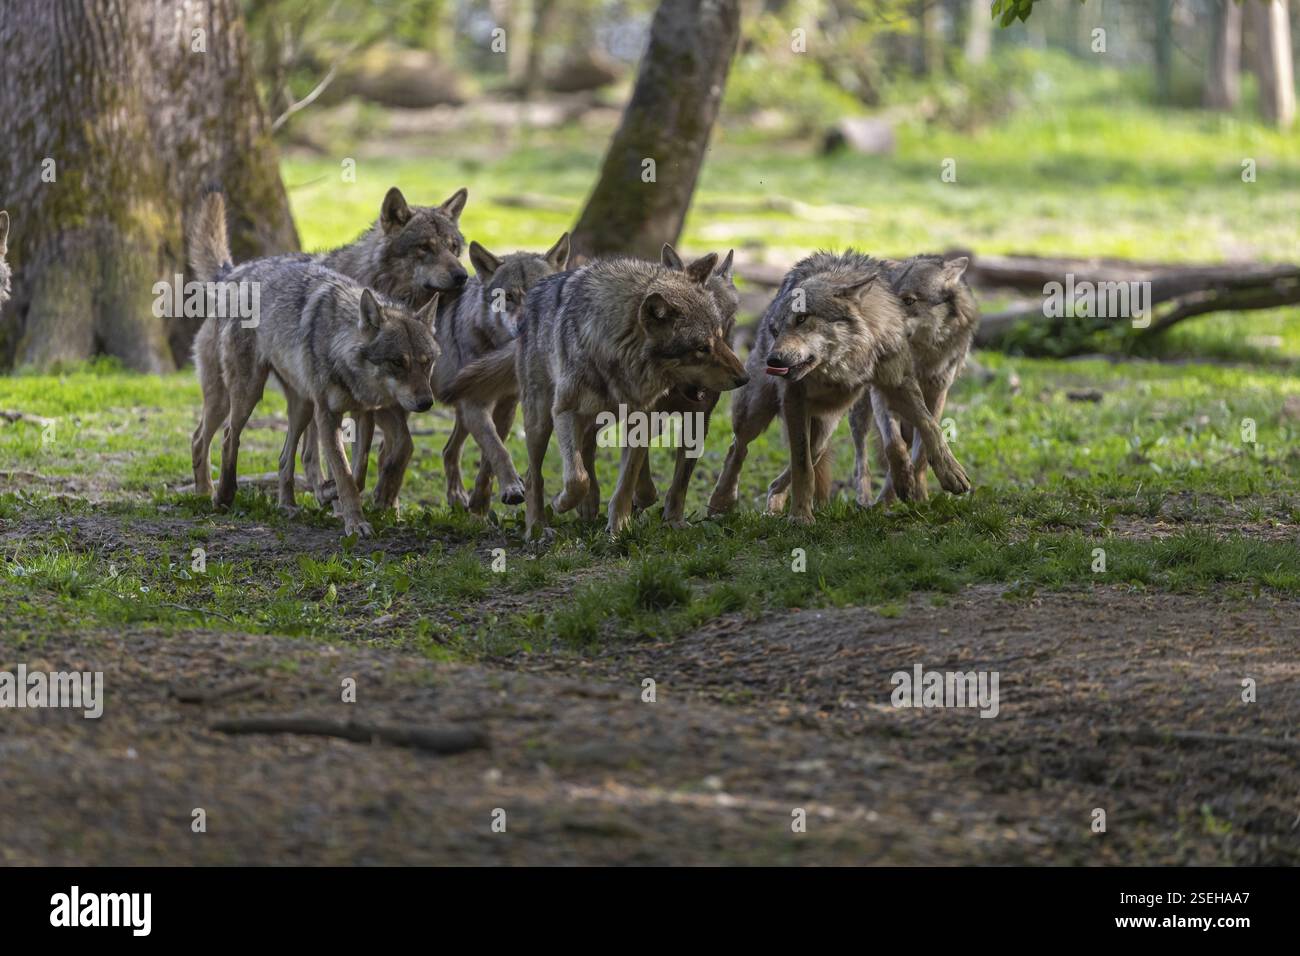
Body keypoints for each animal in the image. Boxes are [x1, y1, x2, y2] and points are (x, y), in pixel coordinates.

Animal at [188, 192, 439, 537]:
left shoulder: (363, 415)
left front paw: (330, 493)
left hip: (302, 406)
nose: (426, 403)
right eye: (398, 363)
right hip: (243, 396)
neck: (341, 352)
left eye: (427, 363)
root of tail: (232, 273)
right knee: (221, 436)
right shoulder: (328, 416)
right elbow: (345, 473)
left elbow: (357, 472)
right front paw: (355, 523)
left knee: (283, 456)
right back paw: (219, 495)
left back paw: (286, 505)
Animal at [426, 232, 570, 513]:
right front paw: (511, 488)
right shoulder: (475, 404)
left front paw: (481, 503)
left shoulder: (506, 406)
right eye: (509, 297)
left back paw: (457, 497)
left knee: (449, 451)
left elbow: (489, 457)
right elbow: (497, 450)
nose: (527, 326)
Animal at [707, 250, 970, 524]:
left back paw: (773, 507)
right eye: (775, 330)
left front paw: (950, 473)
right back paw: (721, 503)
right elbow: (803, 468)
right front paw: (800, 517)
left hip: (825, 427)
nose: (773, 361)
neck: (847, 359)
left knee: (791, 468)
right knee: (738, 448)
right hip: (757, 413)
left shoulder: (897, 383)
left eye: (802, 318)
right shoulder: (794, 397)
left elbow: (930, 426)